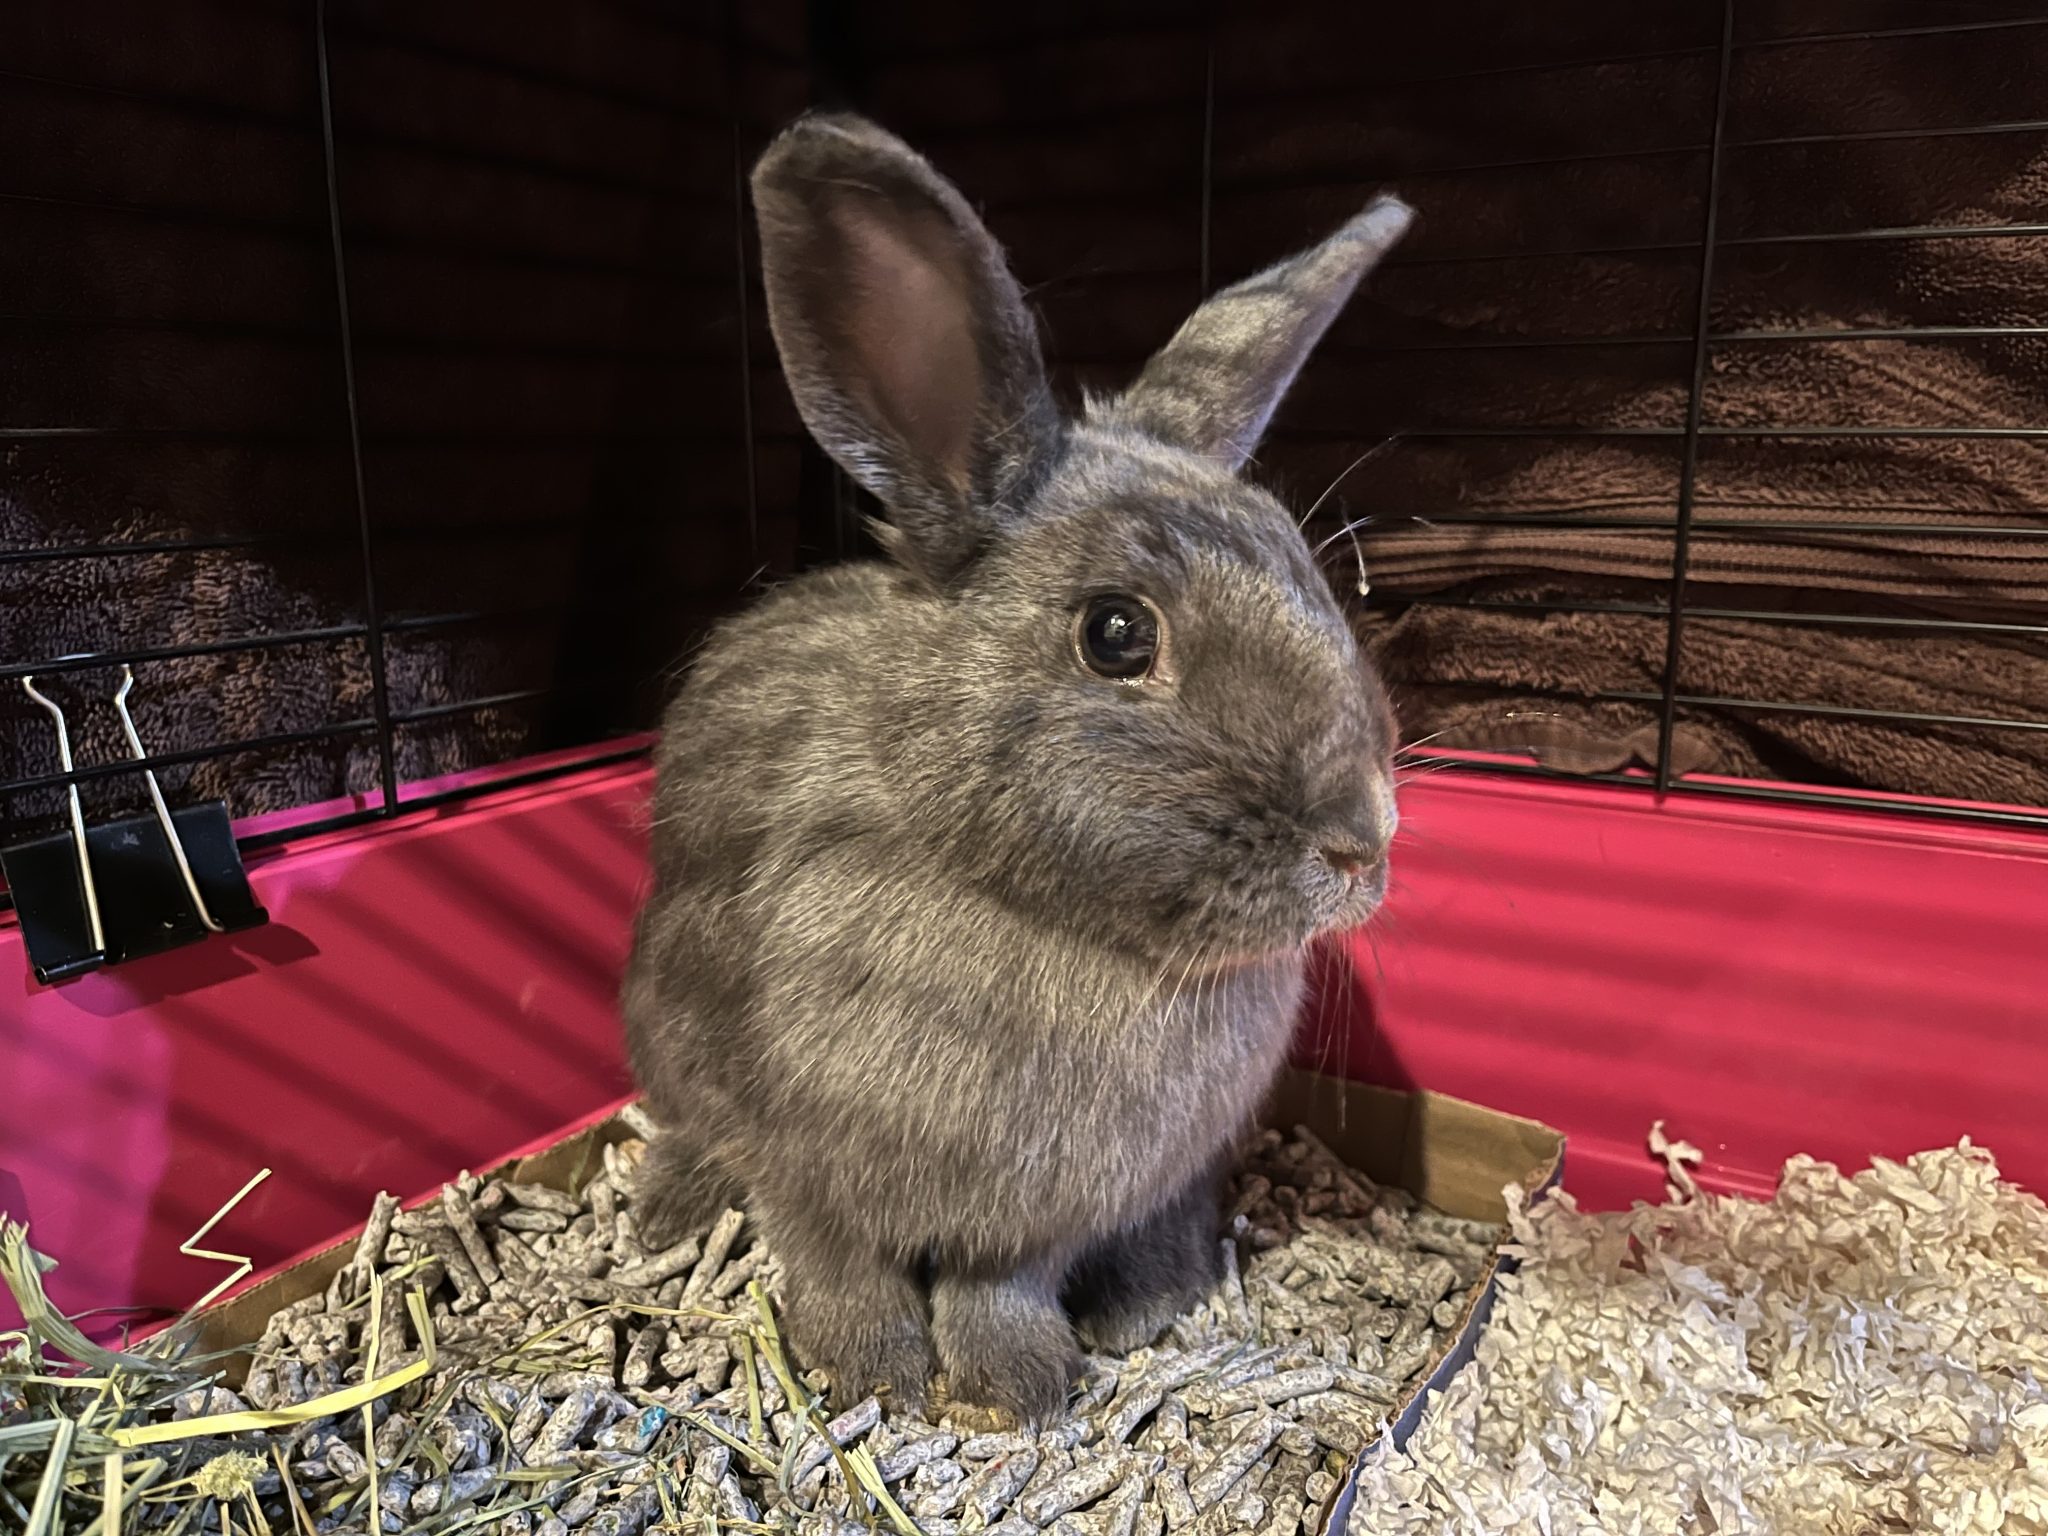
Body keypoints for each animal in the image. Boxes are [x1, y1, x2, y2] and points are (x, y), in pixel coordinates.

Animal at [622, 111, 1412, 1427]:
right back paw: (662, 1212)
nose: (1362, 842)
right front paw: (873, 1368)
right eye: (1115, 634)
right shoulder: (796, 1153)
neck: (1041, 918)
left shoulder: (1043, 1215)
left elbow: (1004, 1283)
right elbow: (830, 1250)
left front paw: (1014, 1385)